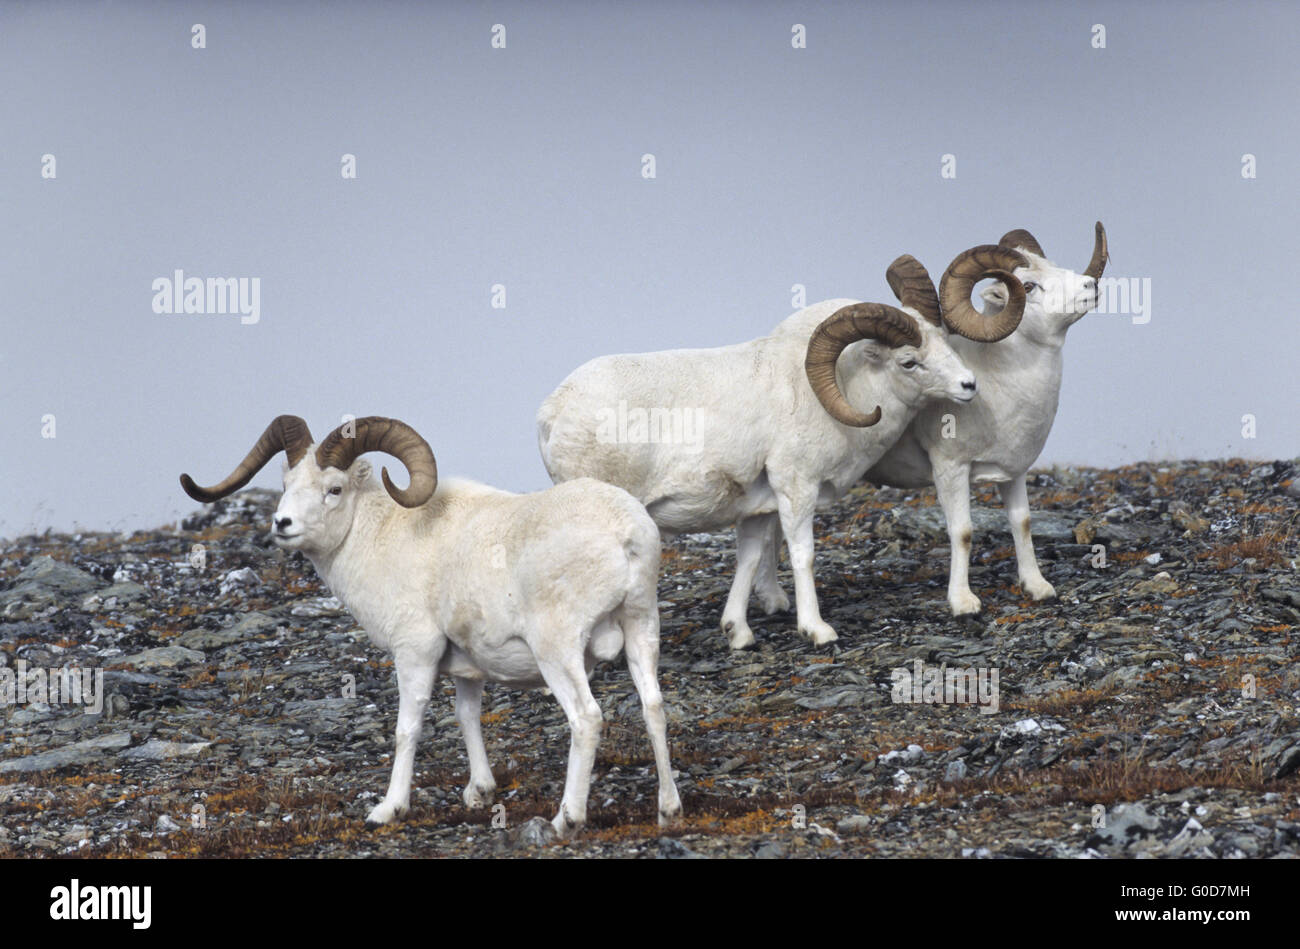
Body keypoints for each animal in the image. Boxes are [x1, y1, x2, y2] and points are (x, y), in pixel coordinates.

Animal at [180, 415, 681, 837]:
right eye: (286, 483)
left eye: (334, 489)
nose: (282, 524)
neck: (381, 536)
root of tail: (625, 535)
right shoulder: (467, 666)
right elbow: (466, 716)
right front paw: (480, 793)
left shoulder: (415, 652)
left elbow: (408, 728)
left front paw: (387, 810)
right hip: (642, 630)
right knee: (653, 706)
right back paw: (668, 810)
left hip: (557, 651)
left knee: (586, 718)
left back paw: (565, 820)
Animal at [538, 253, 1024, 649]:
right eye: (909, 361)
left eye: (942, 339)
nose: (969, 386)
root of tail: (552, 412)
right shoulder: (797, 489)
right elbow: (802, 555)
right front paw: (818, 631)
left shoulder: (757, 508)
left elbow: (750, 560)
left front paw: (738, 634)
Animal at [859, 222, 1110, 614]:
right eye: (1028, 286)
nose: (1089, 286)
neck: (1000, 386)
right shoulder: (951, 469)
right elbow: (962, 532)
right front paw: (963, 603)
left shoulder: (1014, 471)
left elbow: (1022, 523)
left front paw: (1037, 587)